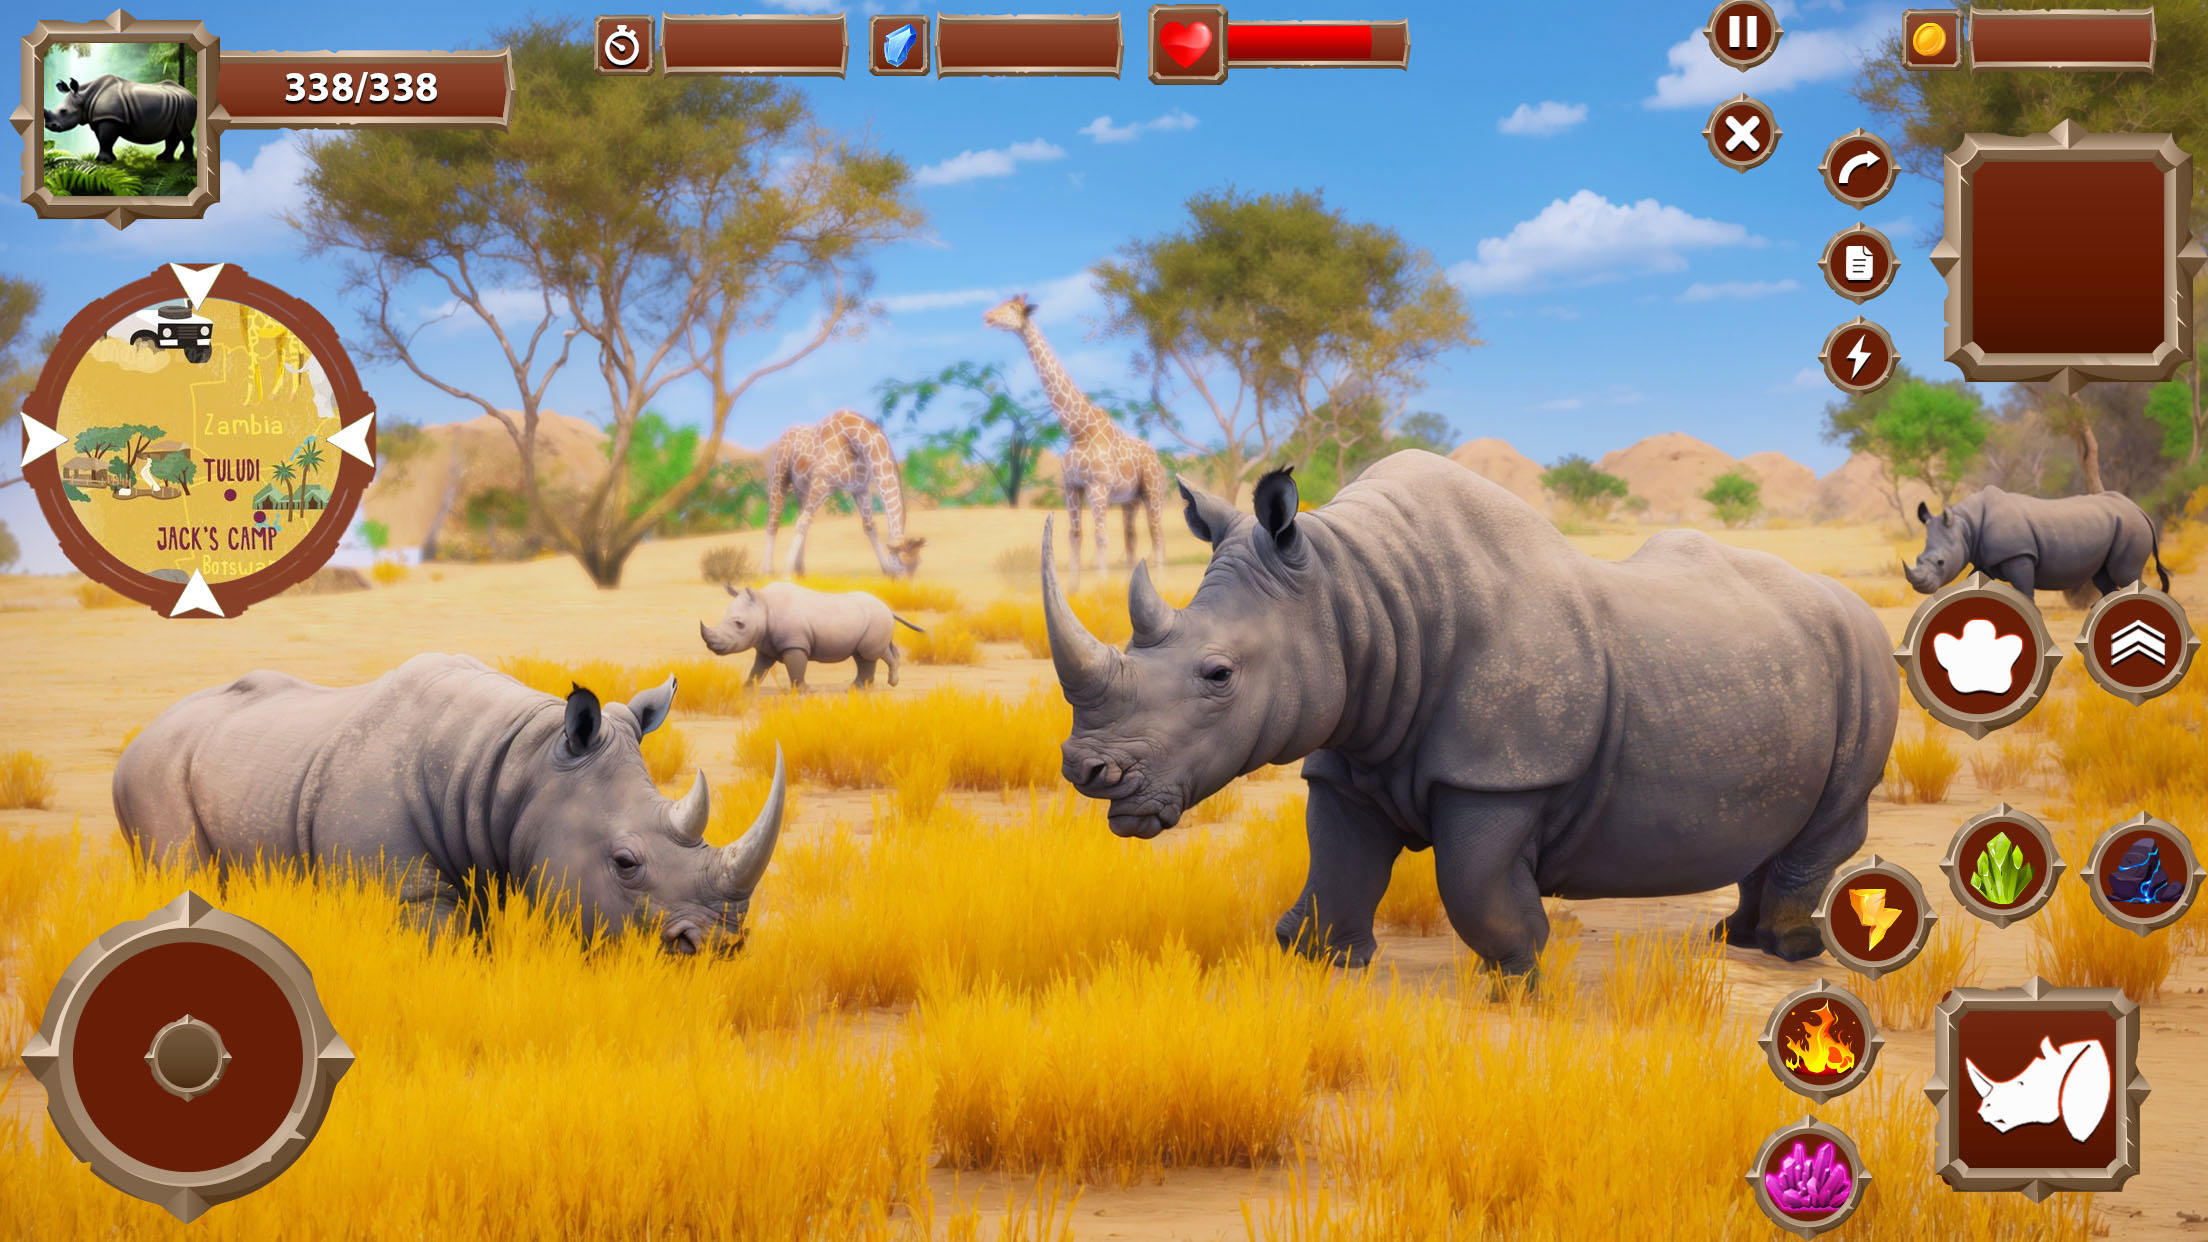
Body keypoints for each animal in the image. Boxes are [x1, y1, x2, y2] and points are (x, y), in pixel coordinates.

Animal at [45, 74, 196, 164]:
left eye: (63, 111)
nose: (50, 126)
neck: (84, 96)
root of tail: (190, 94)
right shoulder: (98, 119)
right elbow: (102, 140)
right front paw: (111, 159)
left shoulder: (110, 117)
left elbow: (106, 139)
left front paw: (102, 161)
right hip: (181, 104)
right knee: (183, 132)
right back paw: (185, 159)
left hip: (185, 104)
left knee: (177, 133)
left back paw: (163, 160)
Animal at [113, 654, 785, 955]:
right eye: (625, 863)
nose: (721, 947)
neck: (519, 759)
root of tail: (140, 735)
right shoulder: (409, 890)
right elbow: (444, 945)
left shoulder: (489, 861)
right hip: (151, 768)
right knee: (180, 870)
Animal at [701, 581, 923, 690]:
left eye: (739, 624)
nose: (713, 647)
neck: (764, 605)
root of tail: (888, 609)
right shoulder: (766, 645)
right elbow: (758, 668)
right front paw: (746, 688)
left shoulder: (795, 644)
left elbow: (796, 667)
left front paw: (804, 691)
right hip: (876, 620)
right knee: (871, 653)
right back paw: (886, 684)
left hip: (877, 618)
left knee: (867, 655)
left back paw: (858, 689)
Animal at [1042, 452, 1898, 973]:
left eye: (1219, 675)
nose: (1086, 770)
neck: (1360, 596)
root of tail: (1852, 604)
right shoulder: (1351, 749)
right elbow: (1338, 862)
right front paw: (1324, 959)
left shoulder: (1504, 772)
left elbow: (1475, 884)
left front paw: (1523, 979)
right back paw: (1734, 940)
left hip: (1864, 660)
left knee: (1828, 820)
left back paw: (1788, 952)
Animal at [1905, 487, 2168, 600]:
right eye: (1917, 559)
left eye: (1941, 562)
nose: (1921, 587)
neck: (1965, 526)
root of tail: (2139, 509)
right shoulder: (1985, 559)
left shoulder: (2019, 555)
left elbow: (2025, 593)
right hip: (2120, 525)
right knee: (2104, 579)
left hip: (2131, 528)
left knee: (2126, 575)